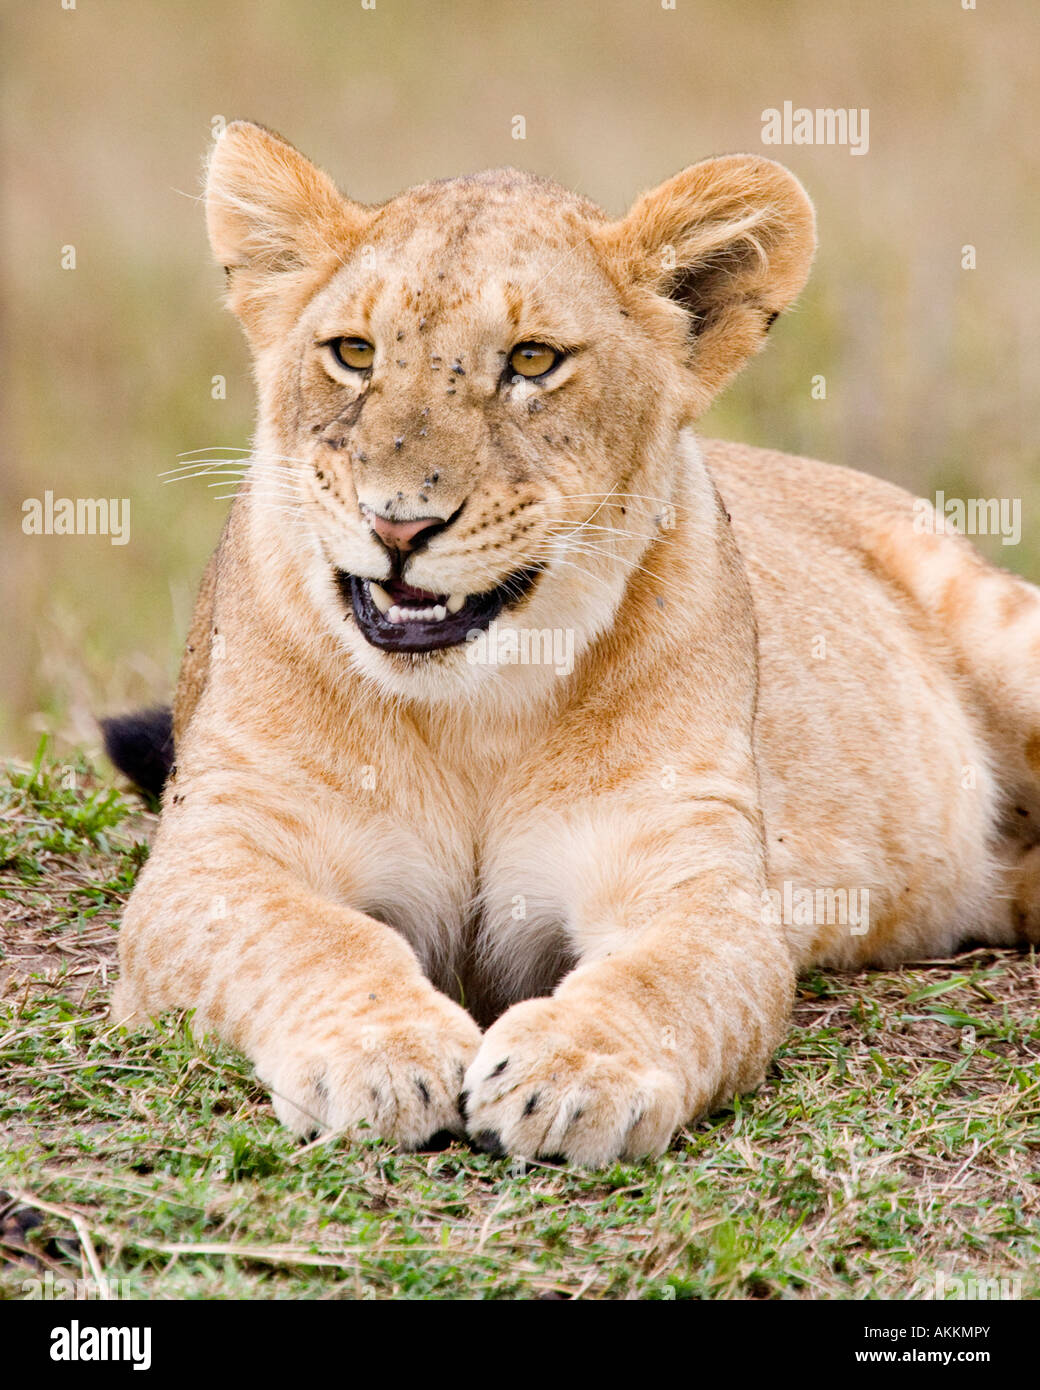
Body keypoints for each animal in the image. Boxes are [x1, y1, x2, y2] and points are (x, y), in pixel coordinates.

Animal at [102, 121, 1040, 1165]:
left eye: (533, 360)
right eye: (352, 352)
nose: (398, 523)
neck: (470, 709)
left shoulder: (694, 877)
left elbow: (658, 978)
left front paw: (575, 1073)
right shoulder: (218, 852)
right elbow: (313, 937)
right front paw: (383, 1055)